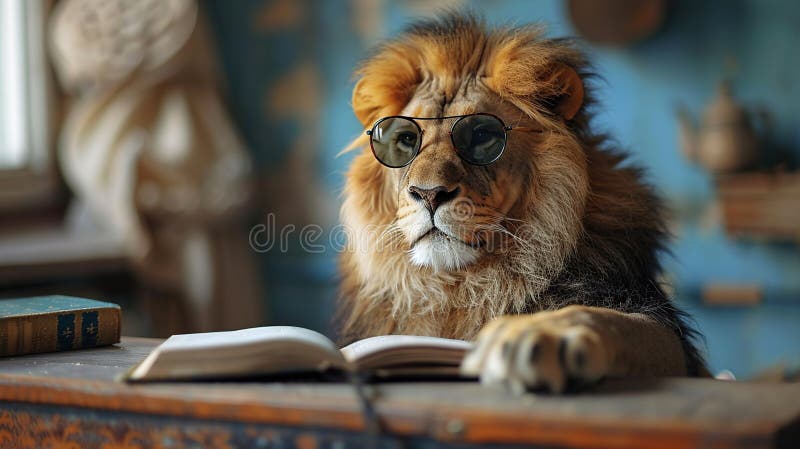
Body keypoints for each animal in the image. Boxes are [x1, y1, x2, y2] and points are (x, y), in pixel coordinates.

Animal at [337, 13, 706, 393]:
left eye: (482, 135)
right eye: (406, 140)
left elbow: (617, 322)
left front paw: (535, 334)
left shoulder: (665, 330)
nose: (428, 194)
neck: (465, 288)